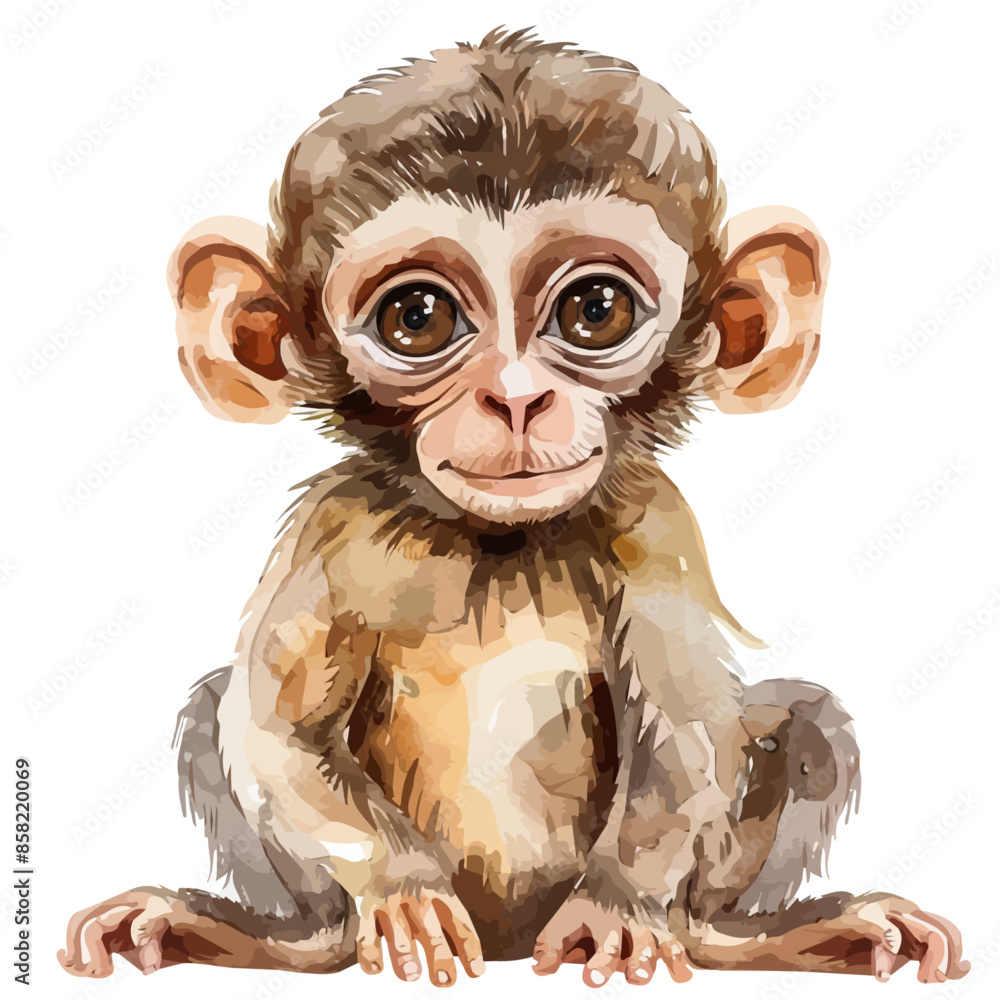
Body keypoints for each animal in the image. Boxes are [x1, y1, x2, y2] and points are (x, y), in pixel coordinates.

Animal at [59, 28, 967, 988]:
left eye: (595, 309)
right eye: (417, 316)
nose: (518, 398)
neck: (497, 546)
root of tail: (505, 942)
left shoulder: (659, 525)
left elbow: (684, 738)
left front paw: (616, 908)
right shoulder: (328, 529)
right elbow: (275, 733)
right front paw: (406, 887)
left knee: (806, 723)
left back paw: (747, 935)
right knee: (215, 714)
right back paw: (266, 938)